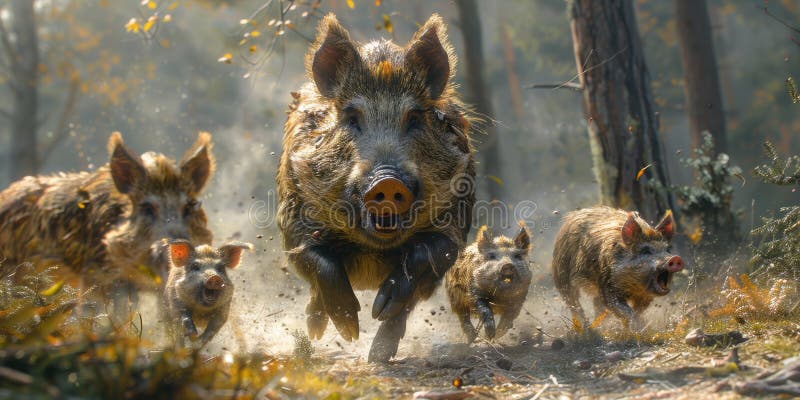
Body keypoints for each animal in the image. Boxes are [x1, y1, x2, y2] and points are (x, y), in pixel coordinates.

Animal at [276, 13, 475, 362]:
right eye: (352, 118)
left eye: (414, 118)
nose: (387, 179)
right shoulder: (293, 215)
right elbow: (316, 257)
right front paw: (350, 330)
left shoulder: (455, 223)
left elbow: (427, 254)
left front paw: (379, 309)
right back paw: (318, 333)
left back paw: (378, 354)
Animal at [551, 206, 684, 331]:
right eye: (645, 251)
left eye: (667, 249)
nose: (674, 258)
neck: (634, 286)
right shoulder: (607, 283)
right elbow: (621, 307)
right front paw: (637, 328)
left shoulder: (644, 297)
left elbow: (637, 311)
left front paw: (640, 326)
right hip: (561, 273)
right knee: (573, 302)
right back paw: (585, 329)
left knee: (596, 306)